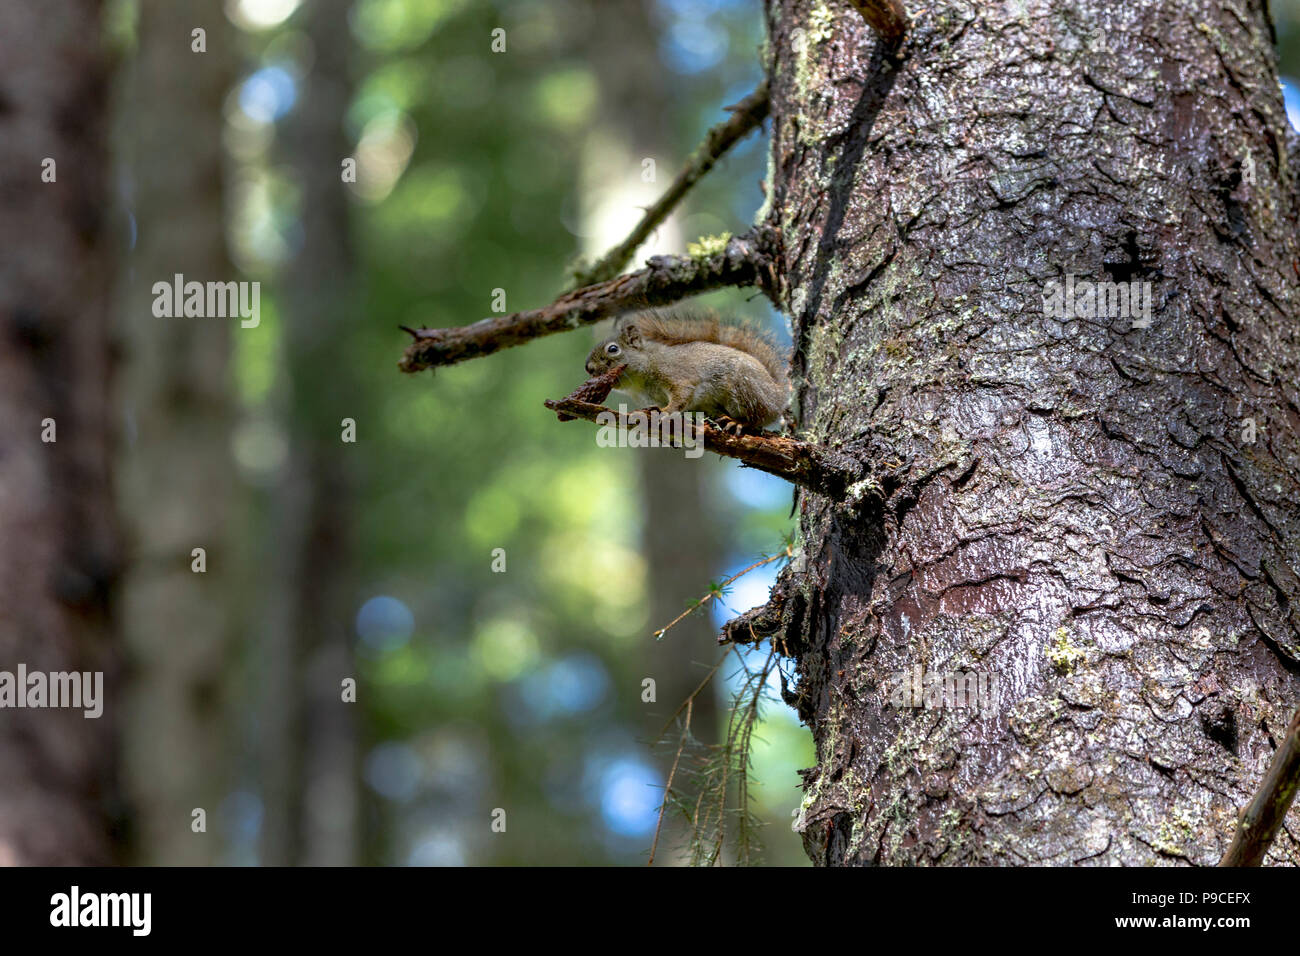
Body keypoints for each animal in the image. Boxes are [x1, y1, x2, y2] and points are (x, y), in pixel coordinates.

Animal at [584, 309, 790, 432]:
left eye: (613, 349)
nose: (588, 368)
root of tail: (778, 395)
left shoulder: (675, 374)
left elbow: (682, 394)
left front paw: (666, 411)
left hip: (746, 388)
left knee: (758, 417)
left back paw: (739, 422)